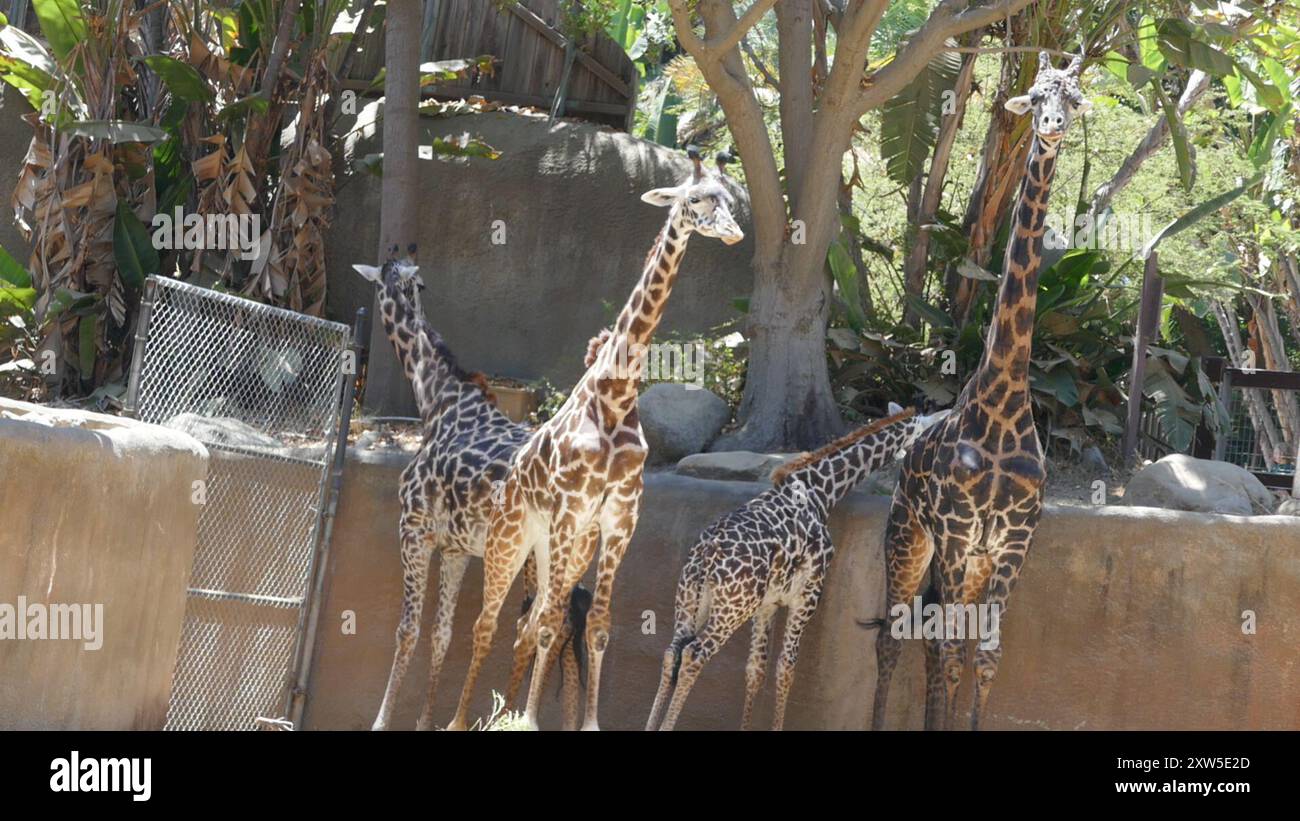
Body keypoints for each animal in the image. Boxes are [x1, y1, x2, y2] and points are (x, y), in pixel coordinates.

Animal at [355, 251, 587, 730]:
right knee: (554, 625)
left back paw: (507, 716)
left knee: (530, 625)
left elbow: (408, 631)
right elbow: (441, 635)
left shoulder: (414, 530)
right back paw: (521, 715)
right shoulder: (456, 549)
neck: (438, 399)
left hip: (525, 553)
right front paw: (424, 721)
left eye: (378, 283)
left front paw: (383, 720)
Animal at [447, 150, 745, 731]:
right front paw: (532, 721)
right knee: (491, 622)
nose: (735, 234)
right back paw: (461, 719)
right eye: (697, 198)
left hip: (563, 545)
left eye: (731, 197)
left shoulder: (618, 516)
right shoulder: (569, 509)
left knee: (532, 619)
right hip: (513, 537)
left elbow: (599, 623)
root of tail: (507, 485)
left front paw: (585, 721)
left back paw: (504, 711)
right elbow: (554, 621)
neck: (615, 394)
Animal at [646, 405, 949, 732]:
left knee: (672, 652)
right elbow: (786, 667)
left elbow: (755, 669)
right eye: (925, 438)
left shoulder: (767, 605)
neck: (820, 490)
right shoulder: (807, 594)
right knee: (694, 654)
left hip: (691, 601)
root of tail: (706, 554)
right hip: (731, 608)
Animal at [871, 53, 1091, 731]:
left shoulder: (1012, 544)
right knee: (894, 637)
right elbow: (946, 650)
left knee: (939, 639)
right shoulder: (956, 533)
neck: (1004, 394)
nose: (1049, 127)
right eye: (1036, 95)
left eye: (1073, 99)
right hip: (909, 538)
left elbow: (984, 656)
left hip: (971, 561)